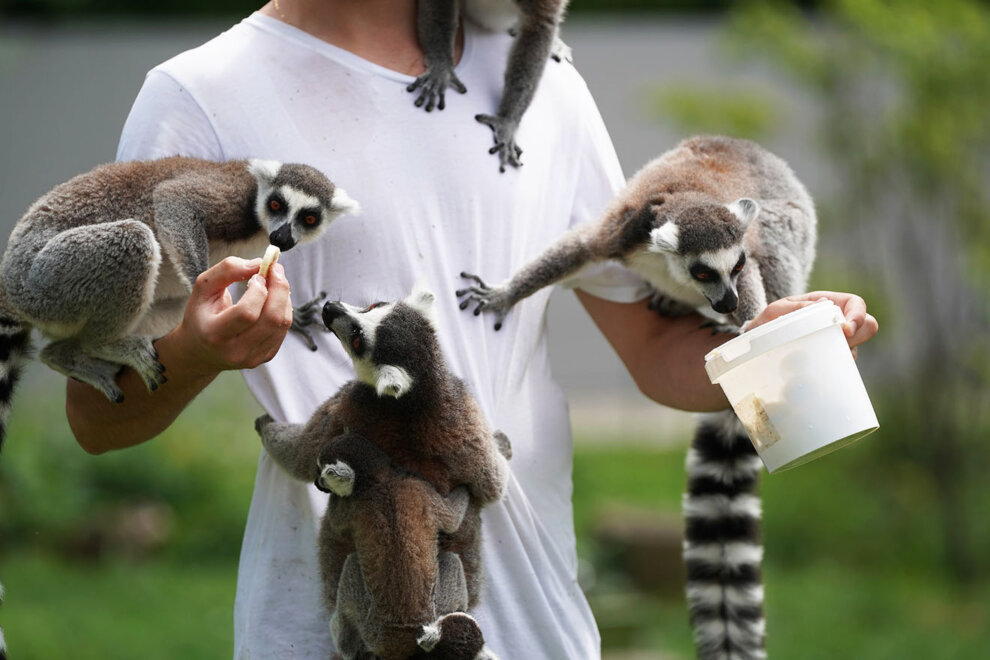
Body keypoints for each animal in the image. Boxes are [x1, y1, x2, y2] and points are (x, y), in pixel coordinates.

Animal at [0, 156, 359, 454]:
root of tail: (10, 282)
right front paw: (208, 285)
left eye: (309, 218)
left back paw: (63, 354)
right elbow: (174, 198)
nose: (282, 238)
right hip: (48, 279)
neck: (258, 222)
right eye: (275, 204)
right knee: (132, 239)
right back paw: (102, 344)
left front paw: (296, 316)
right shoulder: (230, 196)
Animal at [456, 135, 817, 660]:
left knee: (774, 233)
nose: (728, 302)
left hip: (788, 240)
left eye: (735, 267)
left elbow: (757, 282)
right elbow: (576, 248)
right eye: (704, 272)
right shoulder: (624, 231)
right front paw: (506, 293)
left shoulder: (745, 253)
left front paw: (753, 329)